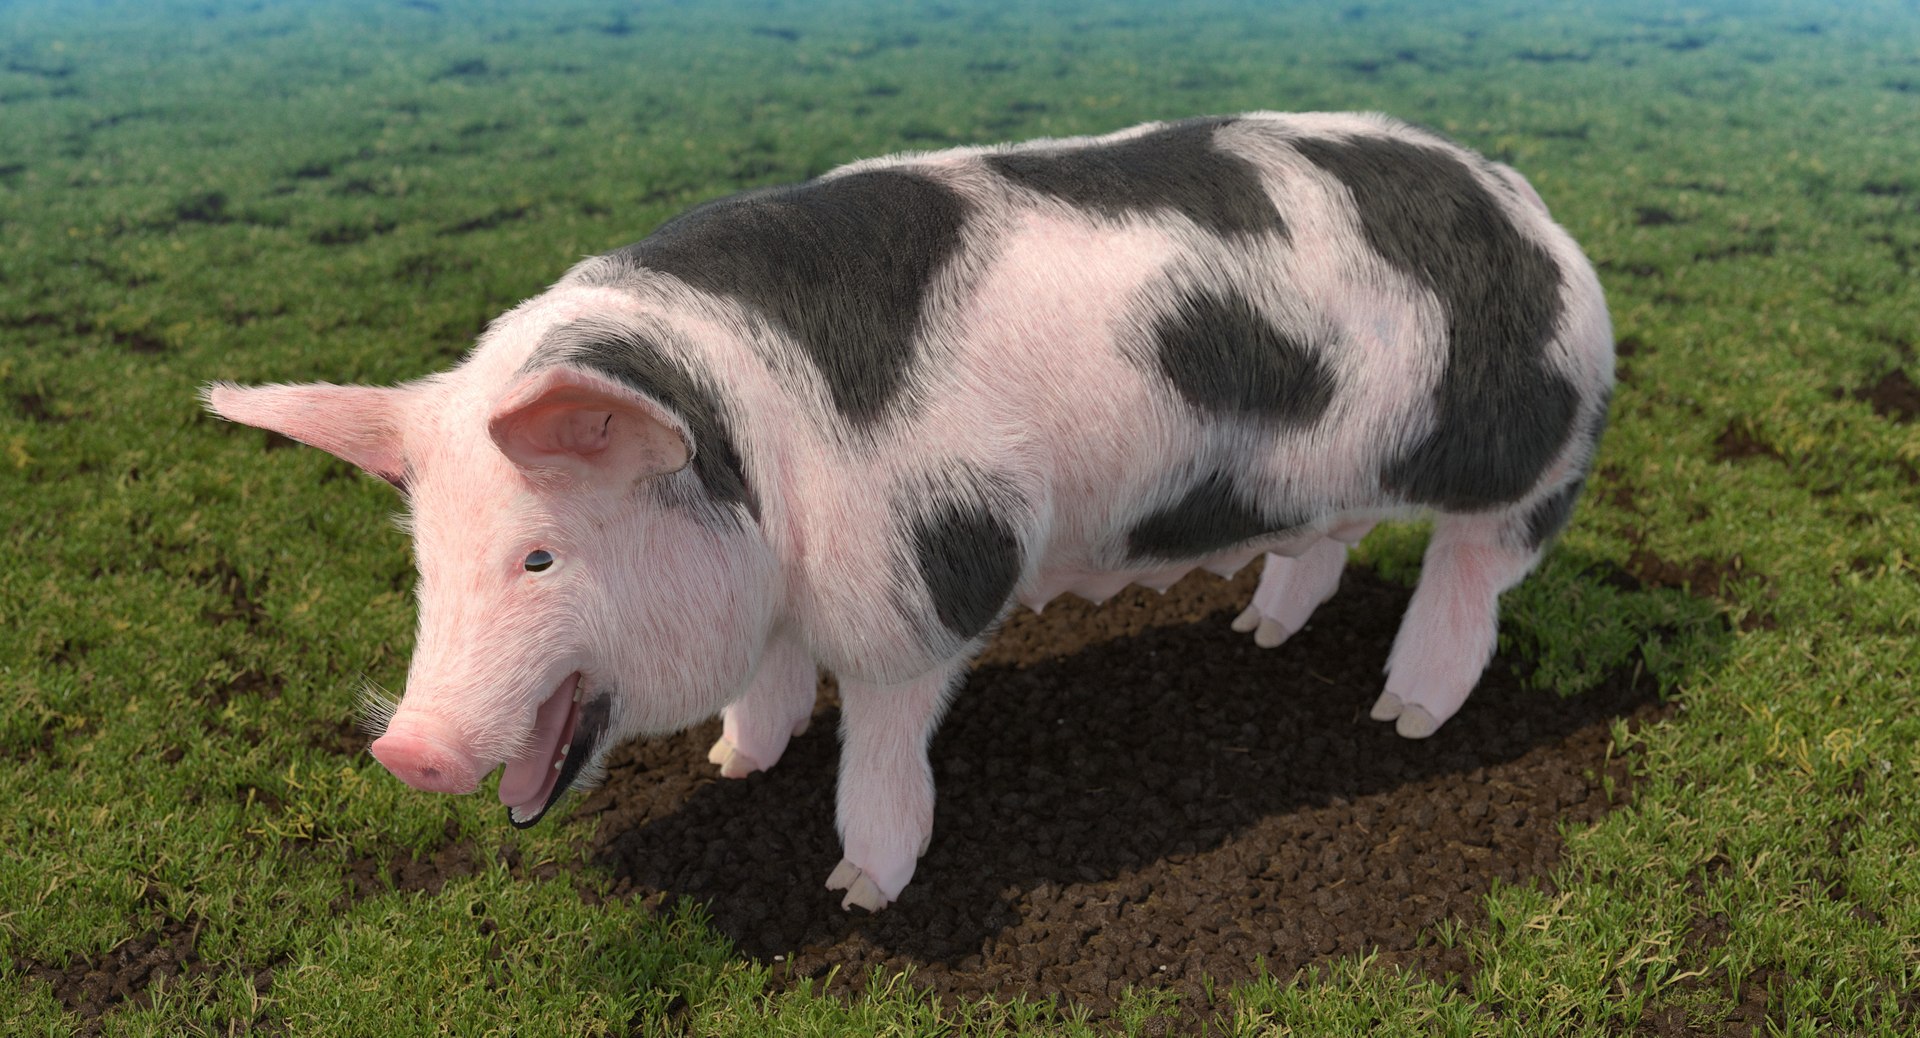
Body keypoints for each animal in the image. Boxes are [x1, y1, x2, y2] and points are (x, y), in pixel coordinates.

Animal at [205, 112, 1612, 912]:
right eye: (427, 567)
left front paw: (859, 894)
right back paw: (1254, 636)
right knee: (1322, 543)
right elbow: (768, 680)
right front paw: (735, 761)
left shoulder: (930, 574)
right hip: (1323, 483)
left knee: (1471, 581)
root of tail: (1525, 202)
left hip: (1528, 468)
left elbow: (882, 743)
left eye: (541, 556)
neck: (752, 441)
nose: (408, 751)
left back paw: (1403, 717)